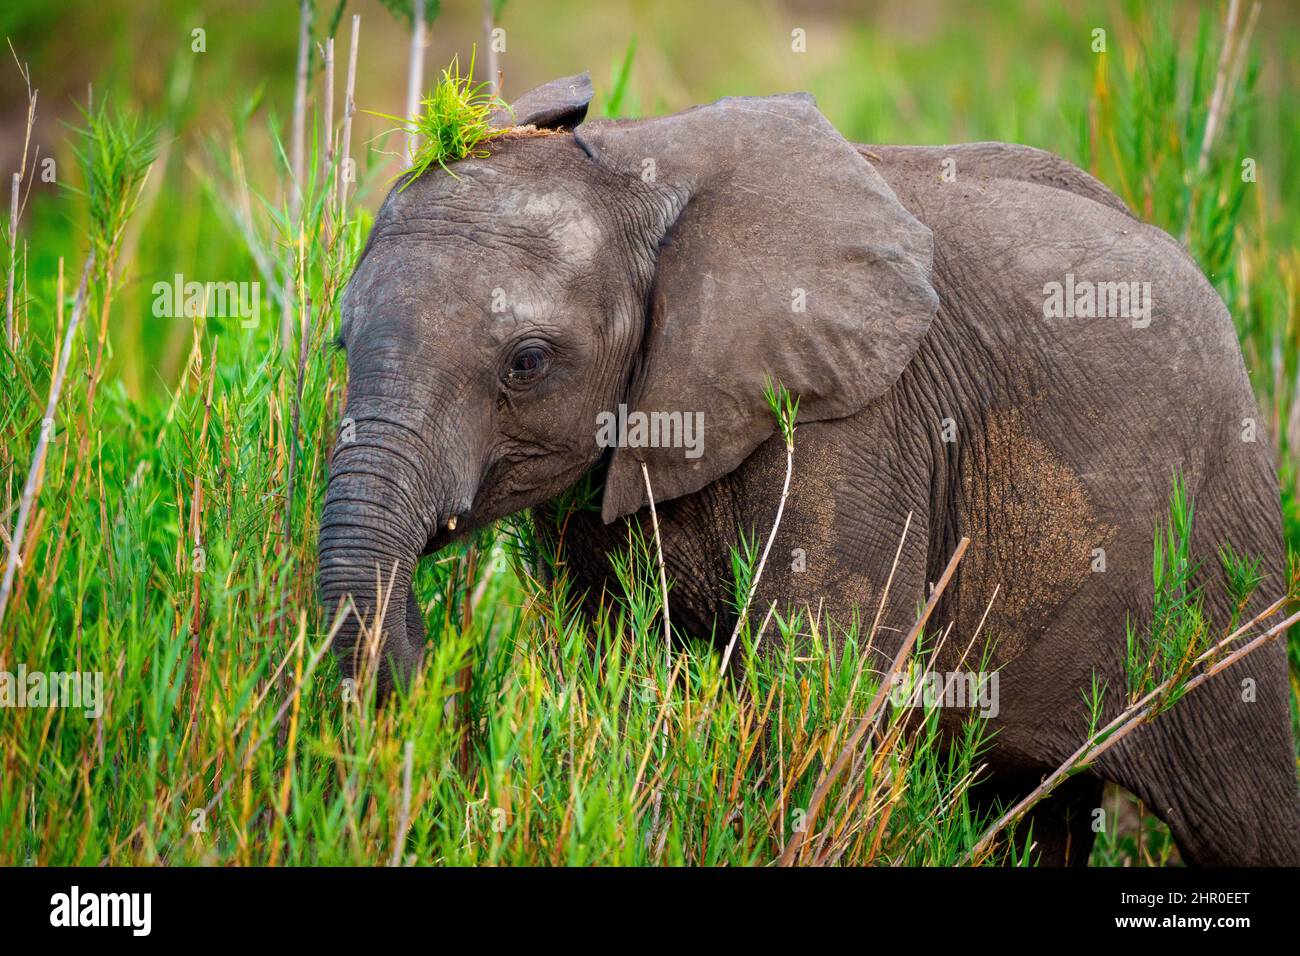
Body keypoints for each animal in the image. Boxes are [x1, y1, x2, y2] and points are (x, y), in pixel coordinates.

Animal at [318, 72, 1300, 866]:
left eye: (526, 362)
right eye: (340, 342)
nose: (432, 685)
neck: (639, 168)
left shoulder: (856, 429)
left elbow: (813, 697)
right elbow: (614, 669)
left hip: (1221, 550)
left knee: (1245, 810)